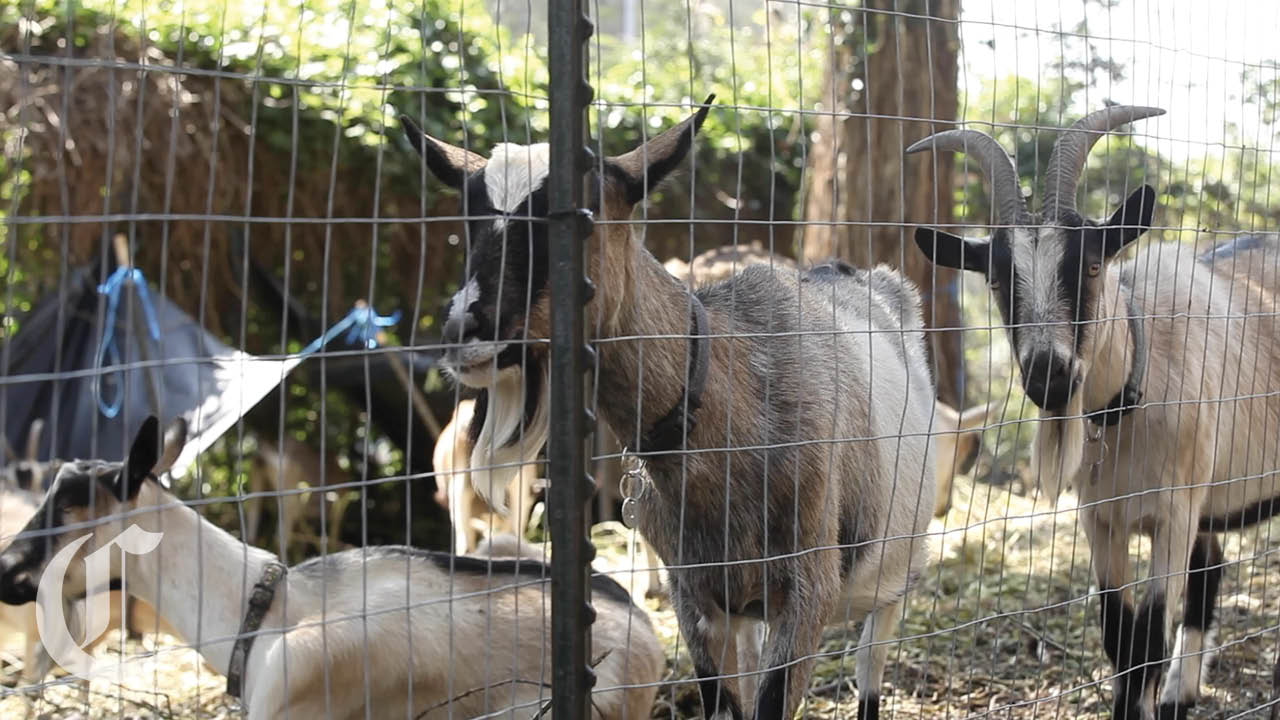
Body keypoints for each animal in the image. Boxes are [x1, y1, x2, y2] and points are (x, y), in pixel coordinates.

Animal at [404, 96, 937, 720]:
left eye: (582, 215)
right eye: (468, 220)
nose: (465, 330)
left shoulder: (808, 590)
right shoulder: (696, 597)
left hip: (897, 568)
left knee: (872, 663)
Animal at [909, 105, 1280, 719]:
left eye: (1090, 267)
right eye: (997, 278)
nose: (1049, 374)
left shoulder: (1173, 514)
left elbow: (1147, 641)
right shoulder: (1102, 518)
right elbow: (1118, 639)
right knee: (1209, 571)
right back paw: (1180, 694)